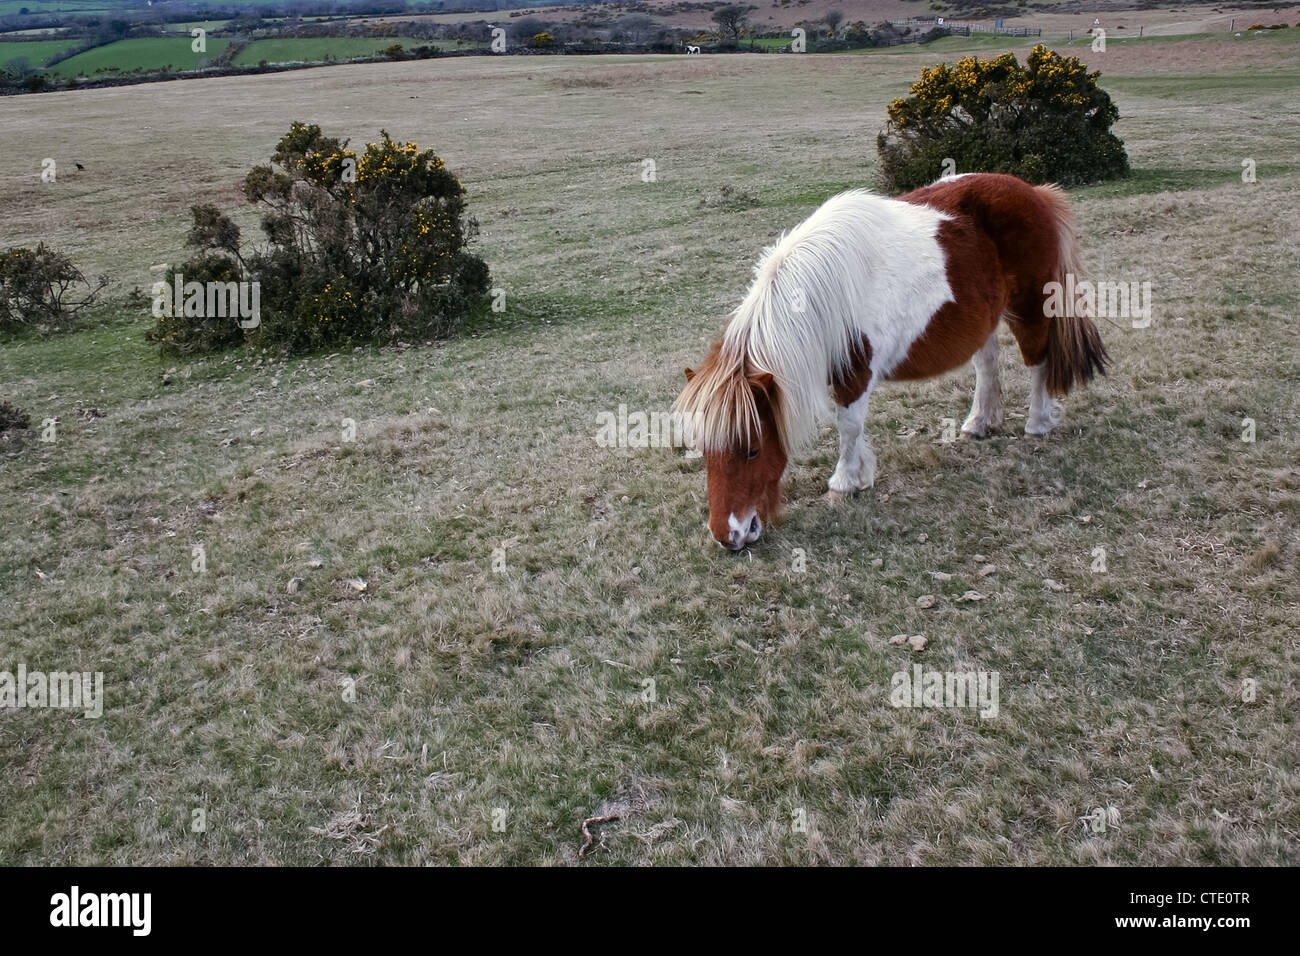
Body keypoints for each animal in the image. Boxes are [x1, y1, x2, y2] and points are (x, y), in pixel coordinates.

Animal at [674, 172, 1109, 550]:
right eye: (704, 450)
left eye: (751, 450)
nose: (728, 536)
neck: (824, 292)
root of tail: (1034, 192)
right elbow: (853, 426)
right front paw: (861, 476)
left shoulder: (855, 373)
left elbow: (848, 425)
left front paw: (843, 484)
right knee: (987, 366)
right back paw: (978, 424)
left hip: (1032, 307)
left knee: (1037, 362)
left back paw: (1037, 425)